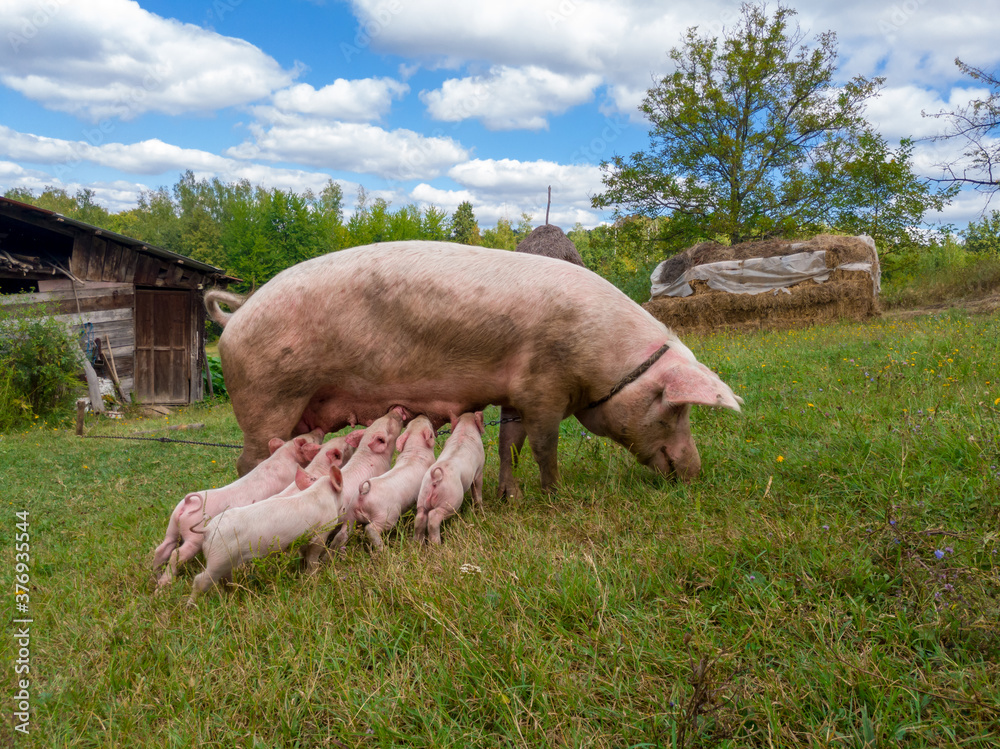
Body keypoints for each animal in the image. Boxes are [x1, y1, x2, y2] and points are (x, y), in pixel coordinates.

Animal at [151, 430, 323, 588]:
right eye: (312, 439)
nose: (319, 429)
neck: (284, 456)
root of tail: (188, 504)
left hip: (172, 528)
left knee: (162, 548)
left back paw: (155, 578)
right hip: (194, 537)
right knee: (176, 554)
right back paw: (163, 586)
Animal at [187, 464, 345, 605]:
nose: (344, 509)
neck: (322, 494)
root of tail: (207, 530)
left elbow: (304, 555)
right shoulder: (320, 533)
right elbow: (313, 558)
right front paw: (313, 576)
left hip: (225, 560)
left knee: (224, 579)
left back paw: (231, 596)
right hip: (219, 557)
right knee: (201, 579)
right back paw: (191, 606)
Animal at [211, 241, 741, 494]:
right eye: (675, 409)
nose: (694, 473)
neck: (604, 359)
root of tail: (234, 317)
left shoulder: (516, 394)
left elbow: (511, 443)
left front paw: (512, 495)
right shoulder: (543, 387)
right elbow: (545, 445)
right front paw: (554, 494)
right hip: (267, 397)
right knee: (248, 463)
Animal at [353, 415, 438, 549]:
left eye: (410, 424)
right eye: (428, 424)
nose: (421, 415)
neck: (414, 451)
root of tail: (363, 492)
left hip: (356, 516)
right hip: (386, 515)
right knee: (371, 529)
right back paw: (383, 550)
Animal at [414, 412, 485, 545]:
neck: (464, 428)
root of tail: (435, 478)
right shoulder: (479, 470)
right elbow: (477, 491)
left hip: (422, 495)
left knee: (420, 516)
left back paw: (418, 544)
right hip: (451, 499)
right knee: (434, 517)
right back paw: (437, 545)